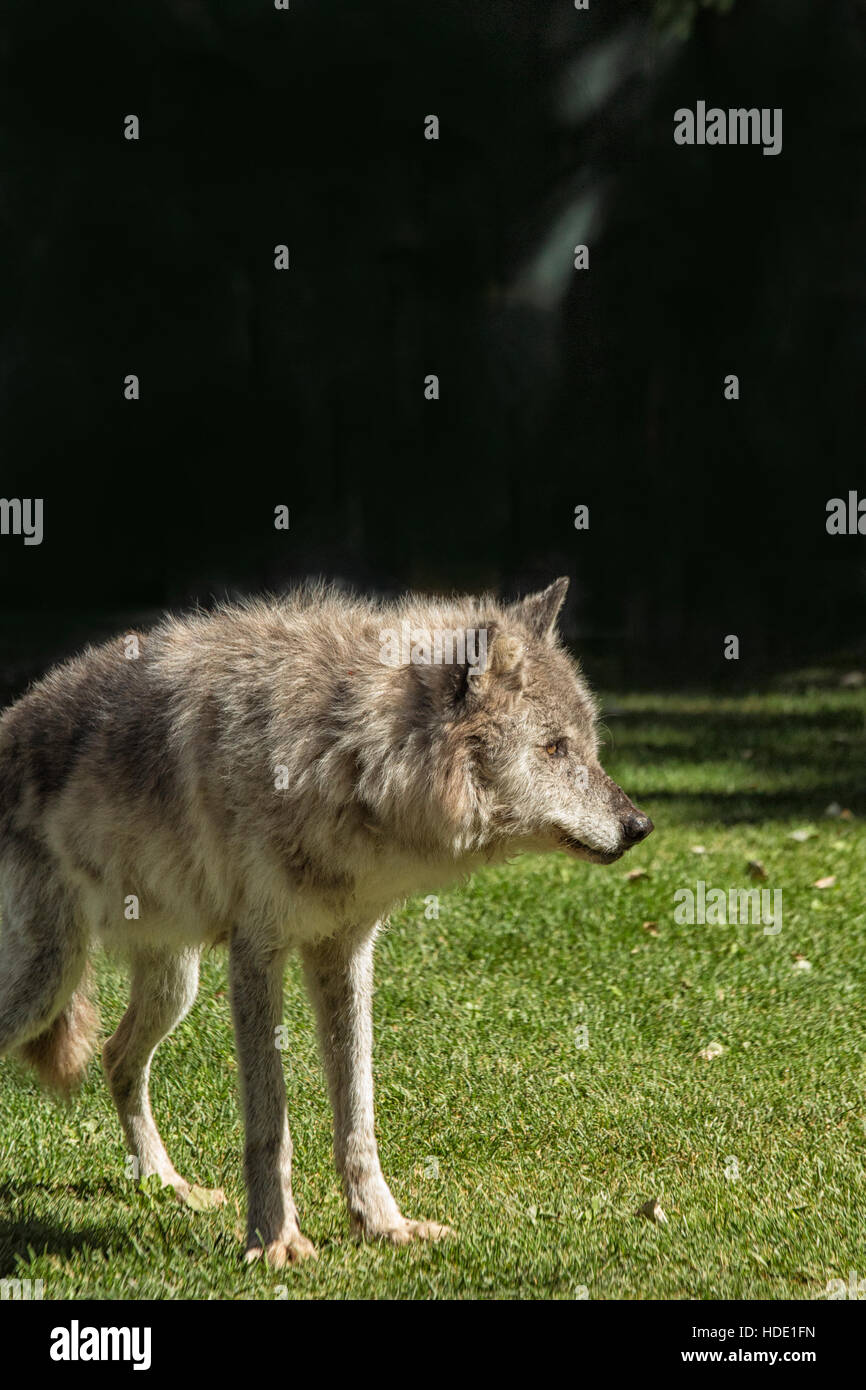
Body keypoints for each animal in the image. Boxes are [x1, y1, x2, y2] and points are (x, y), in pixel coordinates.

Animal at [0, 578, 652, 1266]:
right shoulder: (256, 953)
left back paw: (169, 1186)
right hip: (48, 985)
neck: (346, 750)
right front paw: (275, 1240)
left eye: (589, 747)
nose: (640, 826)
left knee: (116, 1057)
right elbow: (270, 1121)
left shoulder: (345, 951)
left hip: (175, 984)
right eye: (554, 748)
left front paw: (383, 1224)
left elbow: (357, 1115)